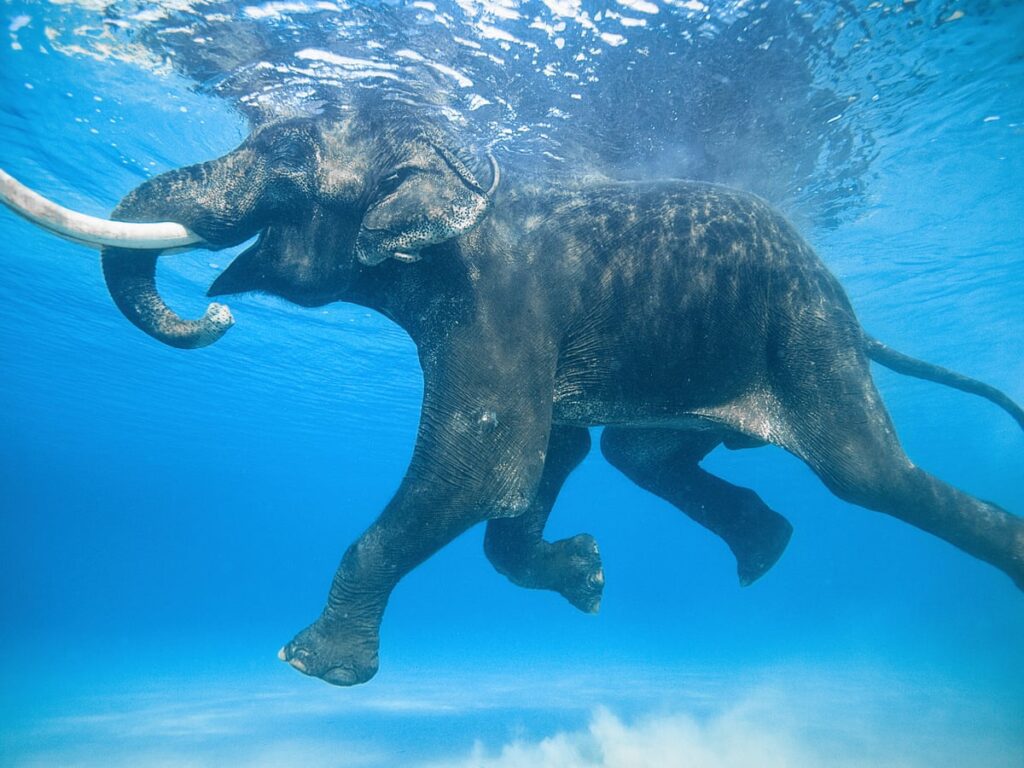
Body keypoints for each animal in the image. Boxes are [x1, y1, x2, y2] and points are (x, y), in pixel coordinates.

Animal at [2, 102, 1023, 687]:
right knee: (636, 454)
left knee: (869, 476)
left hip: (808, 338)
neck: (463, 173)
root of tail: (852, 312)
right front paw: (589, 577)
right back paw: (763, 554)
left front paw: (310, 666)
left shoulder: (498, 315)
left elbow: (481, 467)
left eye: (285, 167)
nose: (214, 316)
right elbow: (543, 463)